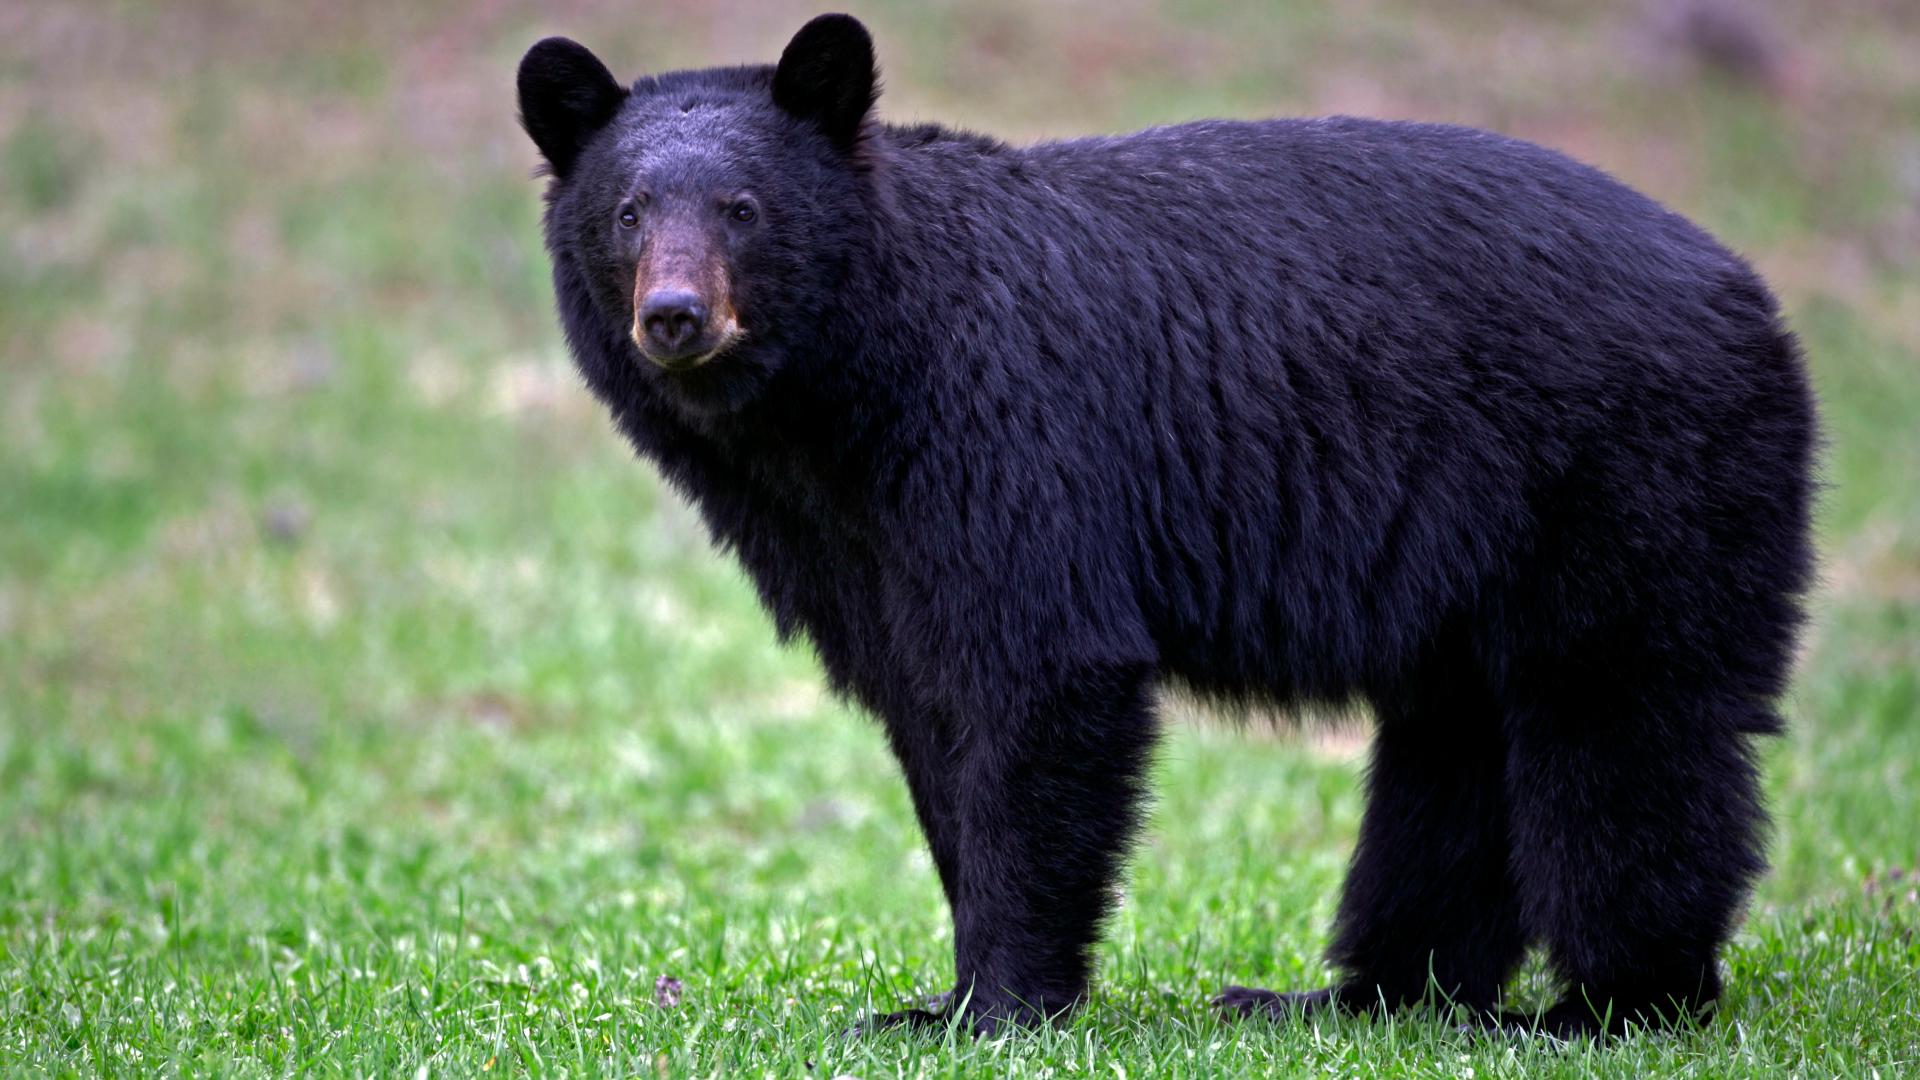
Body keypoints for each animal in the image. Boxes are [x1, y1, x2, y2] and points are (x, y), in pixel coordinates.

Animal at [516, 13, 1816, 1039]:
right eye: (628, 212)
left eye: (743, 209)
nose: (675, 317)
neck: (841, 398)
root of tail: (1757, 299)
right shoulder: (850, 547)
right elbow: (929, 713)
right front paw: (935, 997)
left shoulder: (1011, 433)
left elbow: (1046, 675)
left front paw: (996, 1005)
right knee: (1455, 753)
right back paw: (1353, 997)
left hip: (1630, 481)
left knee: (1621, 729)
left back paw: (1605, 1006)